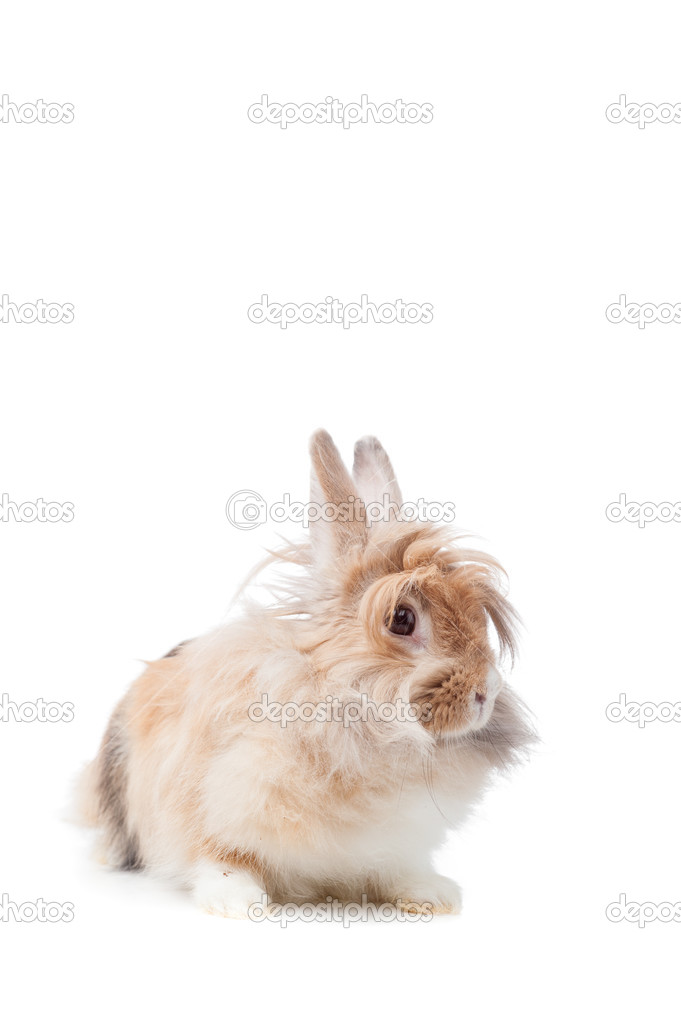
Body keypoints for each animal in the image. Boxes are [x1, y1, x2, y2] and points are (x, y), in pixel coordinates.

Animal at [77, 430, 536, 918]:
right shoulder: (209, 800)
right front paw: (239, 901)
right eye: (402, 619)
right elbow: (220, 857)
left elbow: (395, 869)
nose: (486, 691)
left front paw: (434, 895)